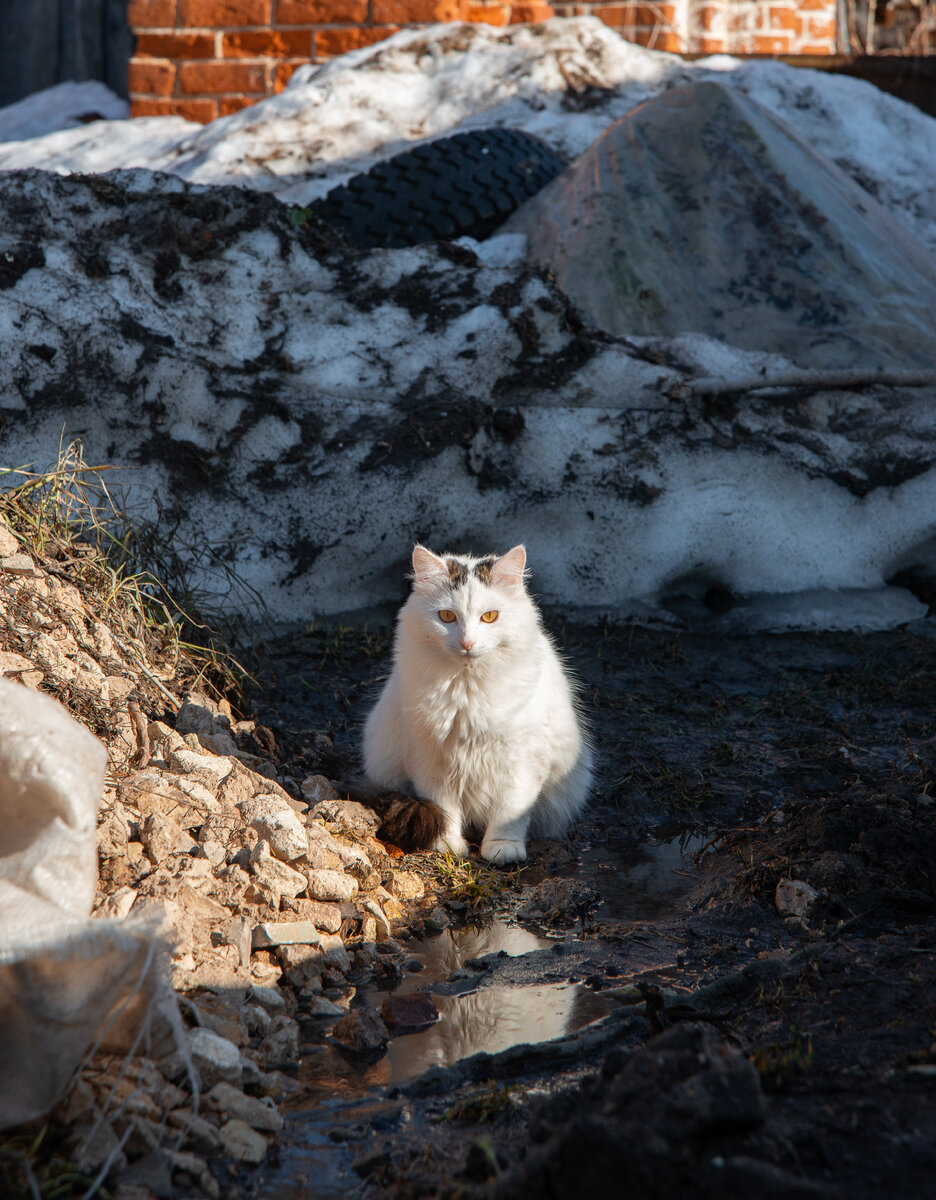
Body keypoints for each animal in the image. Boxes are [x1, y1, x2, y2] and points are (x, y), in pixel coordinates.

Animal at [362, 544, 588, 864]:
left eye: (490, 617)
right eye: (446, 616)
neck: (467, 692)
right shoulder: (431, 757)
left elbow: (510, 811)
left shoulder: (522, 760)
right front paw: (447, 844)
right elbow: (443, 807)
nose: (467, 643)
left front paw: (503, 849)